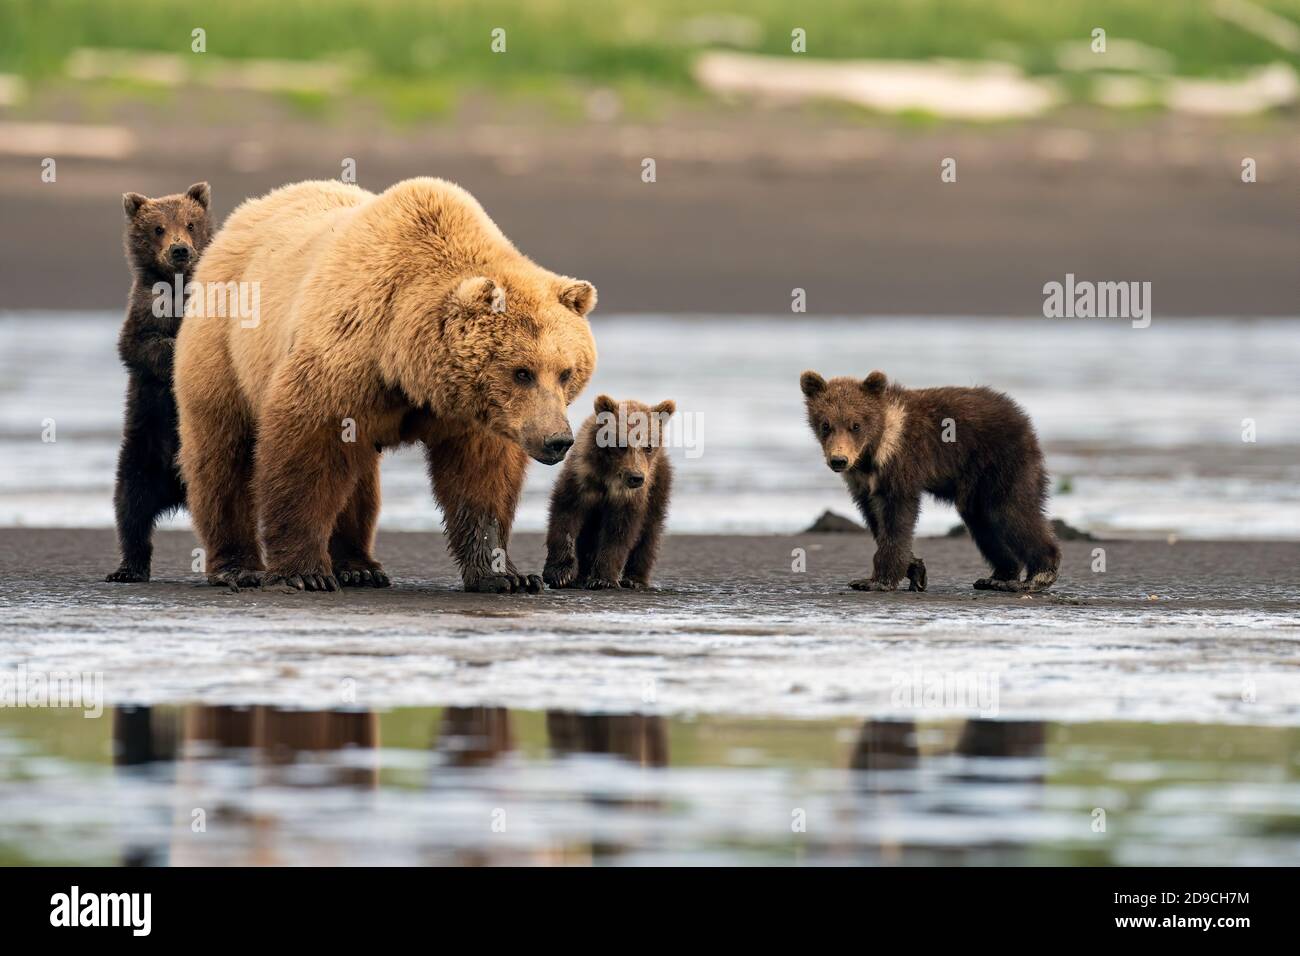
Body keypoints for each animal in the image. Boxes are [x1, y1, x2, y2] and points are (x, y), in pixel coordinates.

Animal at [105, 182, 213, 583]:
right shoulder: (142, 312)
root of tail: (178, 491)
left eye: (190, 223)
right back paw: (128, 567)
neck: (176, 288)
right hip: (142, 450)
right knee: (130, 507)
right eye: (157, 228)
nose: (180, 250)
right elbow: (138, 346)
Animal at [173, 178, 597, 593]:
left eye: (565, 372)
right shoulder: (344, 357)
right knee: (222, 456)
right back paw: (237, 566)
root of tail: (246, 212)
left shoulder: (474, 412)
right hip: (224, 346)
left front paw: (506, 574)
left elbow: (481, 478)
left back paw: (358, 566)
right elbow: (305, 453)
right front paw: (305, 571)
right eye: (522, 371)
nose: (558, 440)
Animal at [543, 395, 674, 590]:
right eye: (621, 444)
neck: (609, 476)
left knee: (650, 533)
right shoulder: (581, 478)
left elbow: (619, 532)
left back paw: (634, 579)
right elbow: (565, 516)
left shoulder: (629, 497)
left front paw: (602, 579)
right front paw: (559, 574)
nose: (636, 477)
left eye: (648, 446)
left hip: (658, 486)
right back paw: (581, 577)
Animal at [800, 369, 1060, 592]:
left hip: (1001, 463)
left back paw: (1036, 576)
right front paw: (916, 570)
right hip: (978, 485)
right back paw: (998, 576)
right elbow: (876, 519)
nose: (839, 460)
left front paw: (875, 581)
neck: (872, 454)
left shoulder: (900, 466)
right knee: (982, 519)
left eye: (855, 425)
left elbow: (897, 519)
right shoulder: (863, 483)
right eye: (825, 425)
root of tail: (1021, 417)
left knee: (1011, 511)